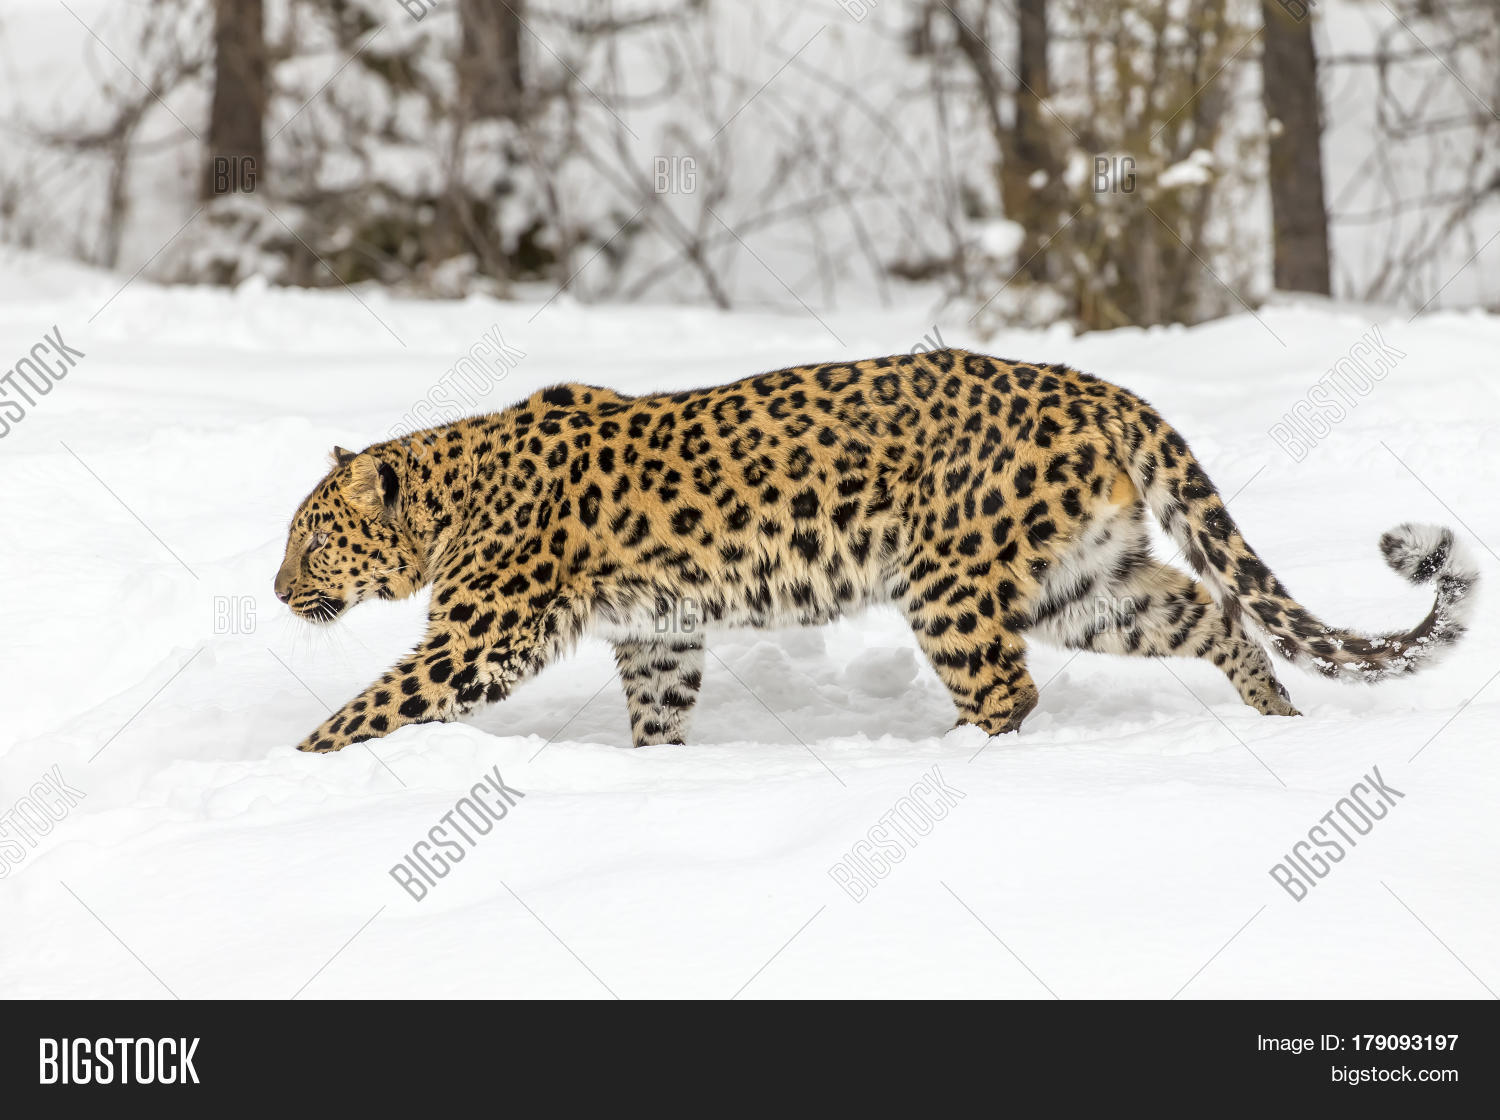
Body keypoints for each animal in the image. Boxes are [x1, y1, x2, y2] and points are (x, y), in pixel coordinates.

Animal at [273, 348, 1479, 754]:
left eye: (311, 536)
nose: (277, 591)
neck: (450, 496)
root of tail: (1096, 386)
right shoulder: (658, 635)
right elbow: (657, 716)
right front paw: (654, 775)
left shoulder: (478, 638)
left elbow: (371, 706)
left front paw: (297, 770)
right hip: (1086, 583)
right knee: (1215, 612)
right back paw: (1280, 723)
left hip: (947, 581)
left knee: (1005, 693)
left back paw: (933, 763)